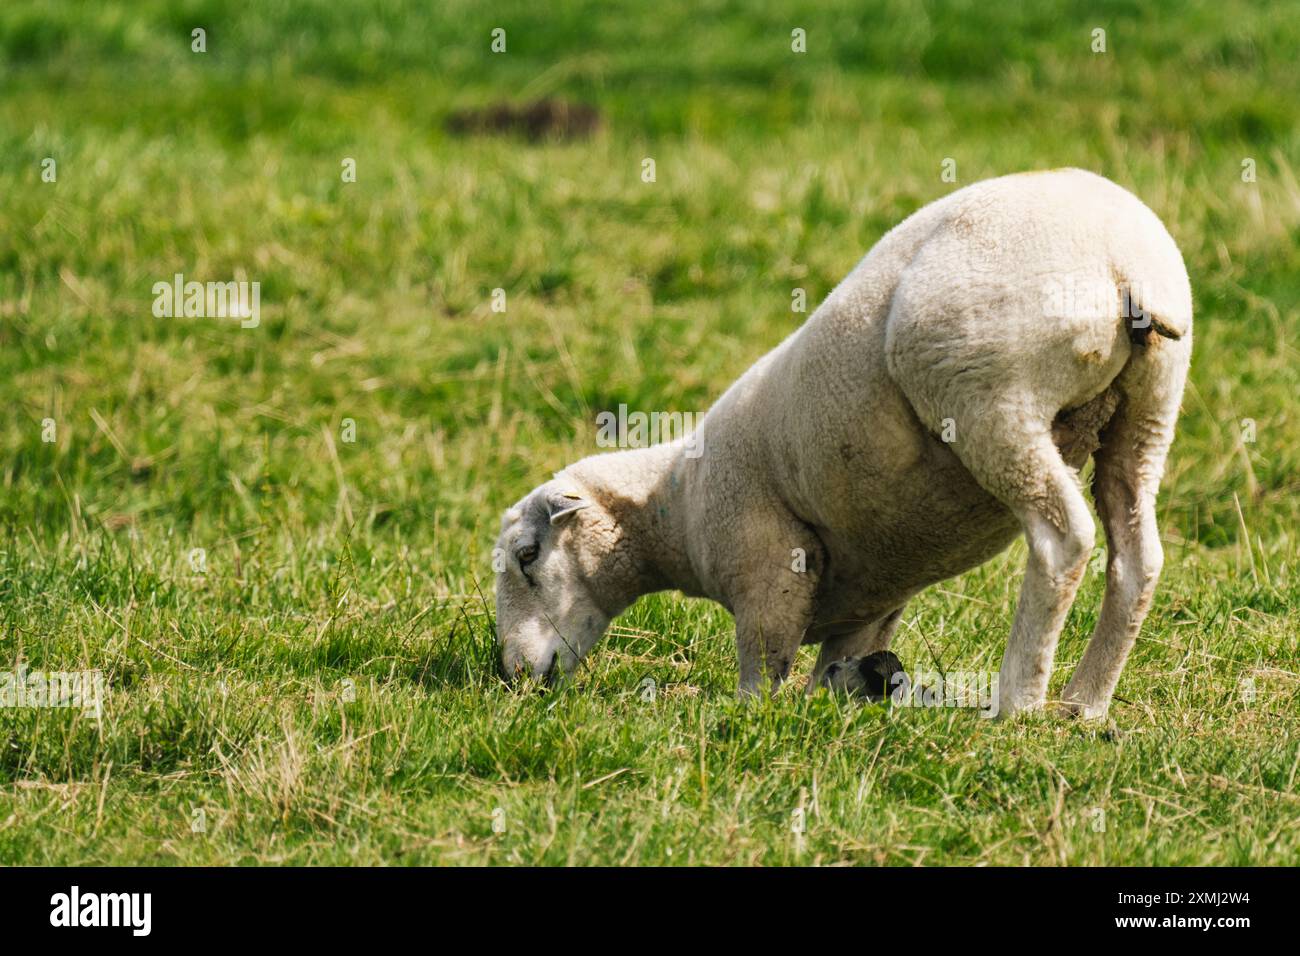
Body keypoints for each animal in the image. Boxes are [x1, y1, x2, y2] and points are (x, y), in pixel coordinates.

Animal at [494, 169, 1192, 719]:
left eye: (527, 556)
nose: (514, 677)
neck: (676, 507)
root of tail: (1122, 264)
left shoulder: (768, 559)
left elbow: (762, 658)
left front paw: (751, 717)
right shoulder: (872, 602)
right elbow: (841, 659)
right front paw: (838, 700)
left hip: (990, 396)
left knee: (1062, 539)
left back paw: (1017, 702)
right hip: (1148, 411)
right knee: (1137, 557)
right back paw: (1085, 703)